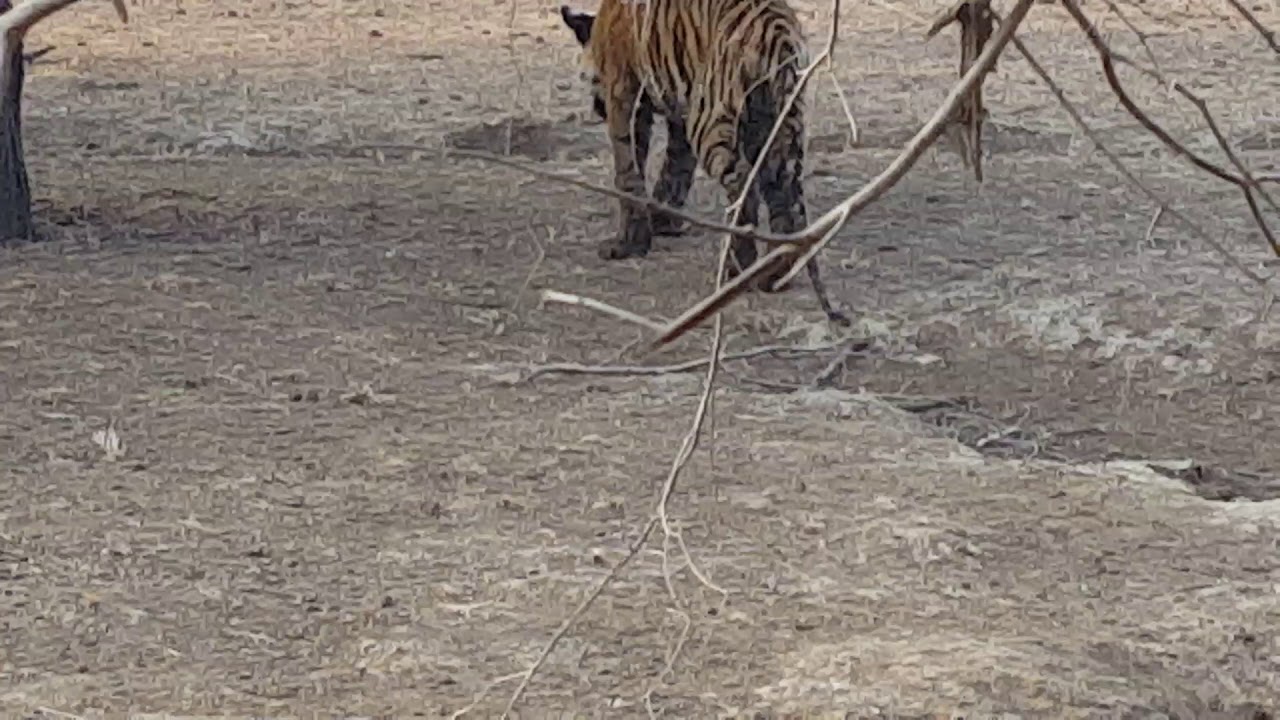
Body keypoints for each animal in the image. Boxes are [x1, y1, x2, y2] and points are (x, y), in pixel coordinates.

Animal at [559, 0, 847, 325]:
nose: (597, 109)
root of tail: (778, 31)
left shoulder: (626, 97)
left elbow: (628, 172)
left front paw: (627, 244)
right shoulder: (680, 117)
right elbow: (676, 169)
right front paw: (662, 221)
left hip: (711, 121)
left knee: (743, 189)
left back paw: (738, 267)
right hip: (778, 125)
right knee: (779, 193)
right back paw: (773, 274)